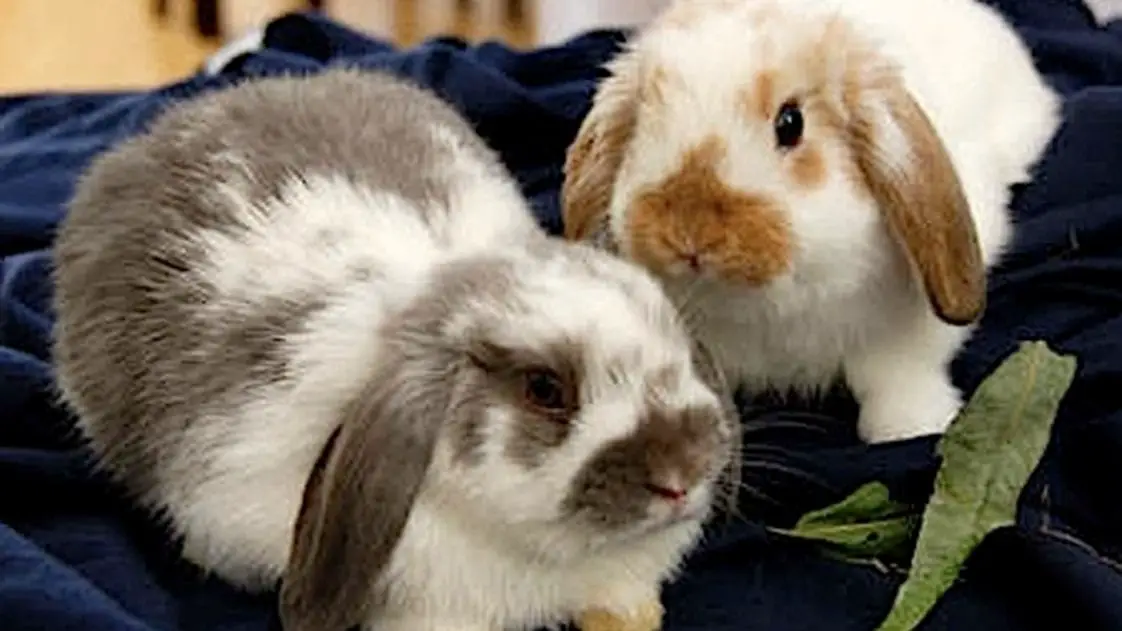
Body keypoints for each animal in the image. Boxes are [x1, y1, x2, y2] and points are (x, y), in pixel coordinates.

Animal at [560, 0, 1063, 444]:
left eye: (790, 123)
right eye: (643, 120)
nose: (687, 233)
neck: (765, 305)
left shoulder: (903, 336)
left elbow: (899, 376)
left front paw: (911, 428)